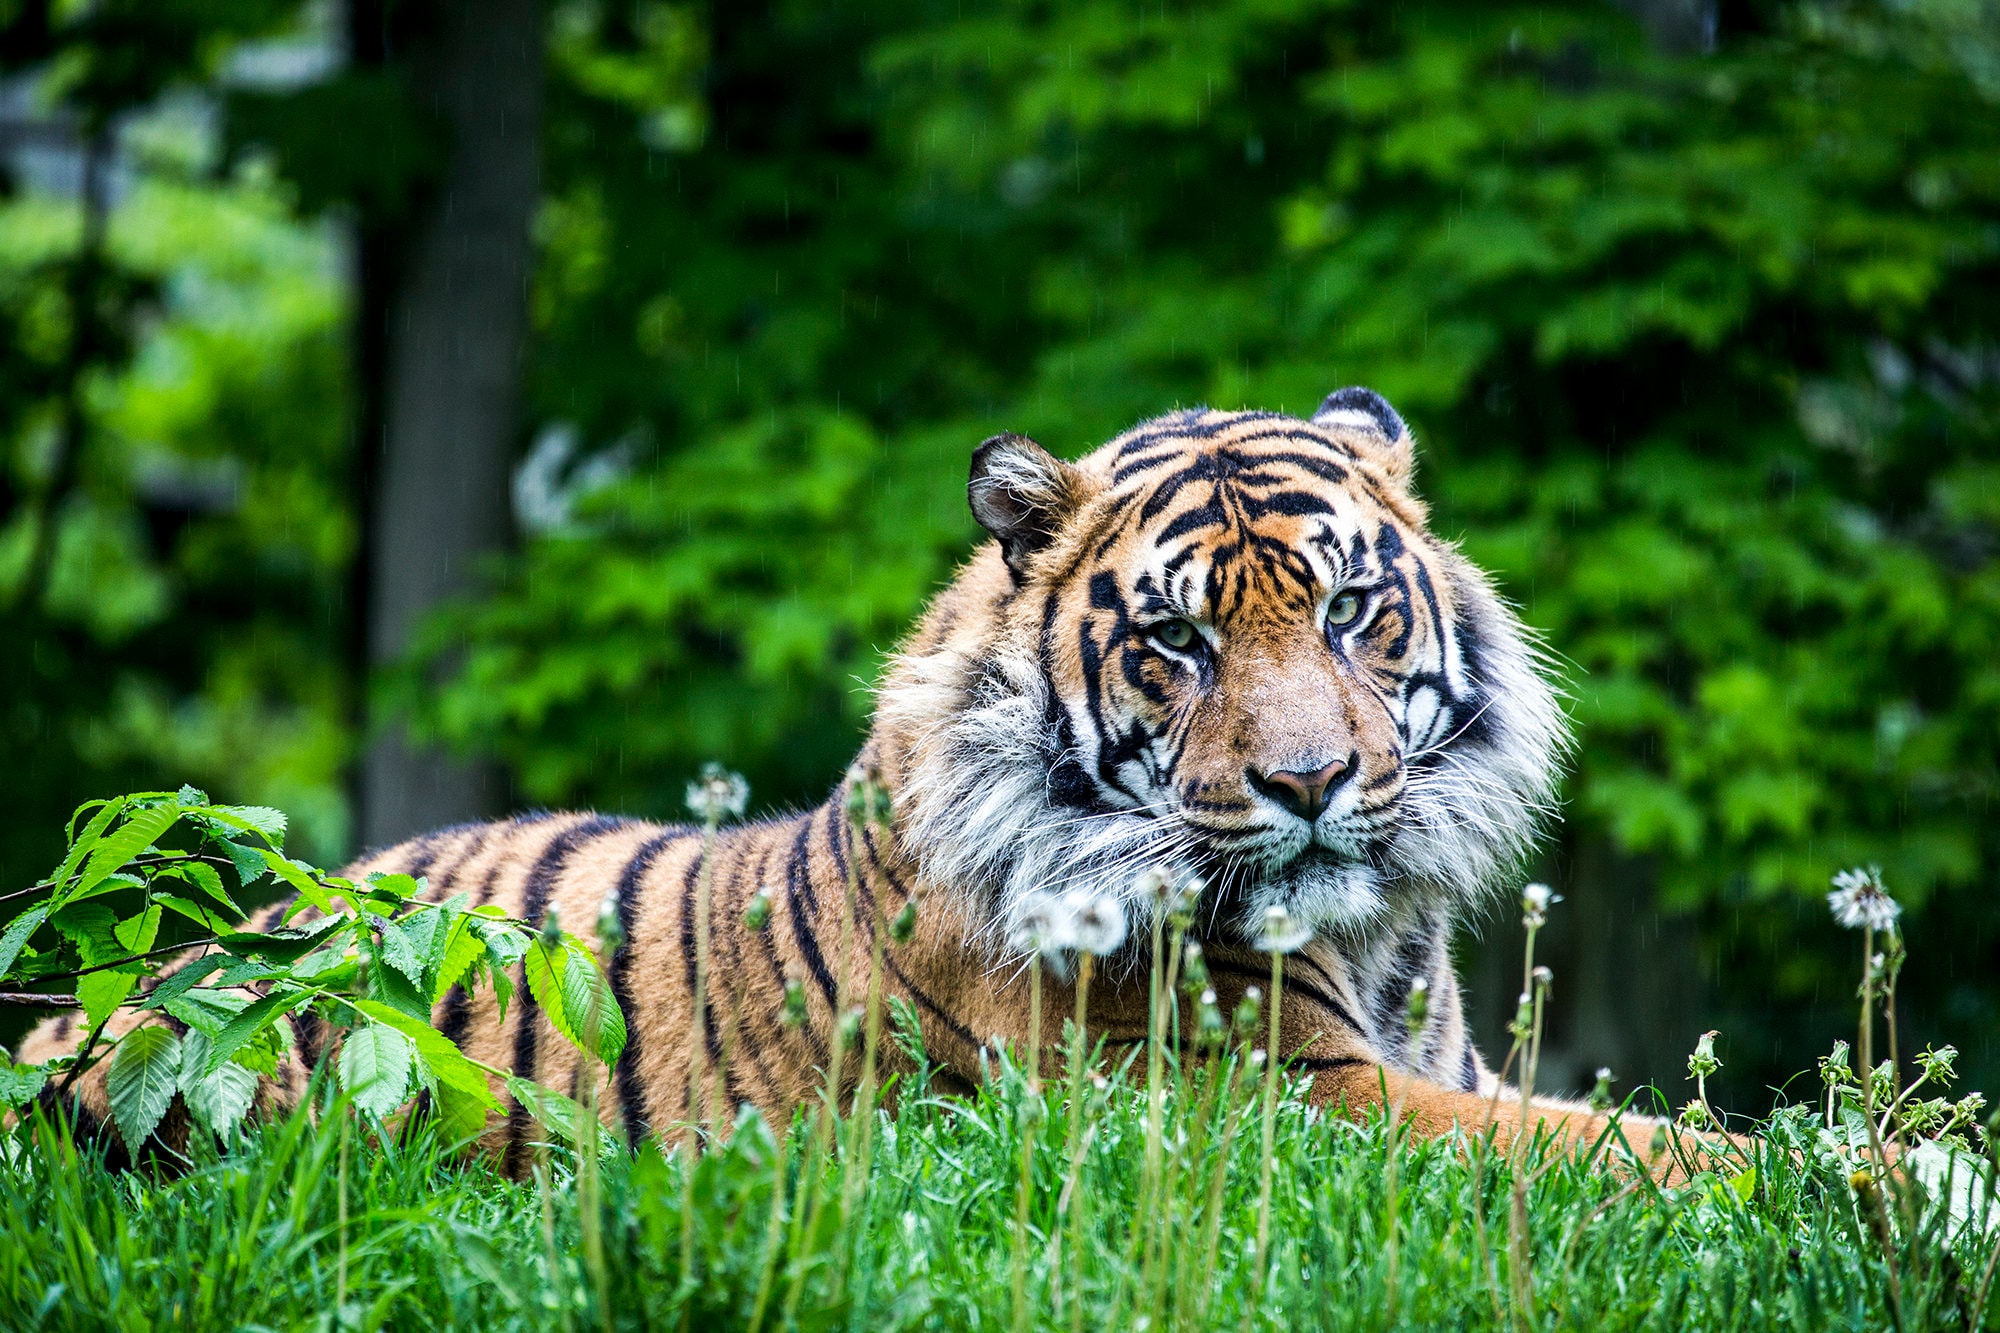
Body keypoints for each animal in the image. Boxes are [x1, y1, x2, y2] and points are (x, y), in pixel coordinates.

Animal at [21, 386, 1682, 1173]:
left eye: (1348, 610)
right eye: (1177, 641)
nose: (1312, 780)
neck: (1372, 935)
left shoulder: (1443, 1070)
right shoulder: (1286, 1102)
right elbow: (1634, 1153)